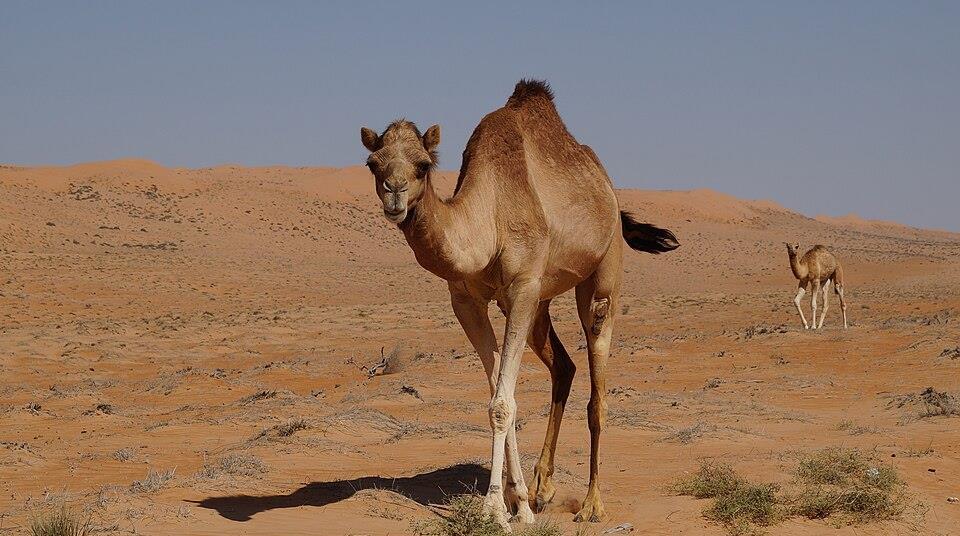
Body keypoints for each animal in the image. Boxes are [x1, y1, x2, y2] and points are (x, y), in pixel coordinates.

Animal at [360, 80, 678, 528]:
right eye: (373, 164)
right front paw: (520, 501)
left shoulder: (523, 287)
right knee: (564, 367)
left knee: (597, 385)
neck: (488, 220)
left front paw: (495, 508)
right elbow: (500, 391)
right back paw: (544, 486)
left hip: (602, 274)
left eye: (423, 165)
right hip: (540, 305)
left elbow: (502, 403)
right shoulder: (468, 302)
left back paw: (591, 504)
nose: (394, 197)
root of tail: (609, 192)